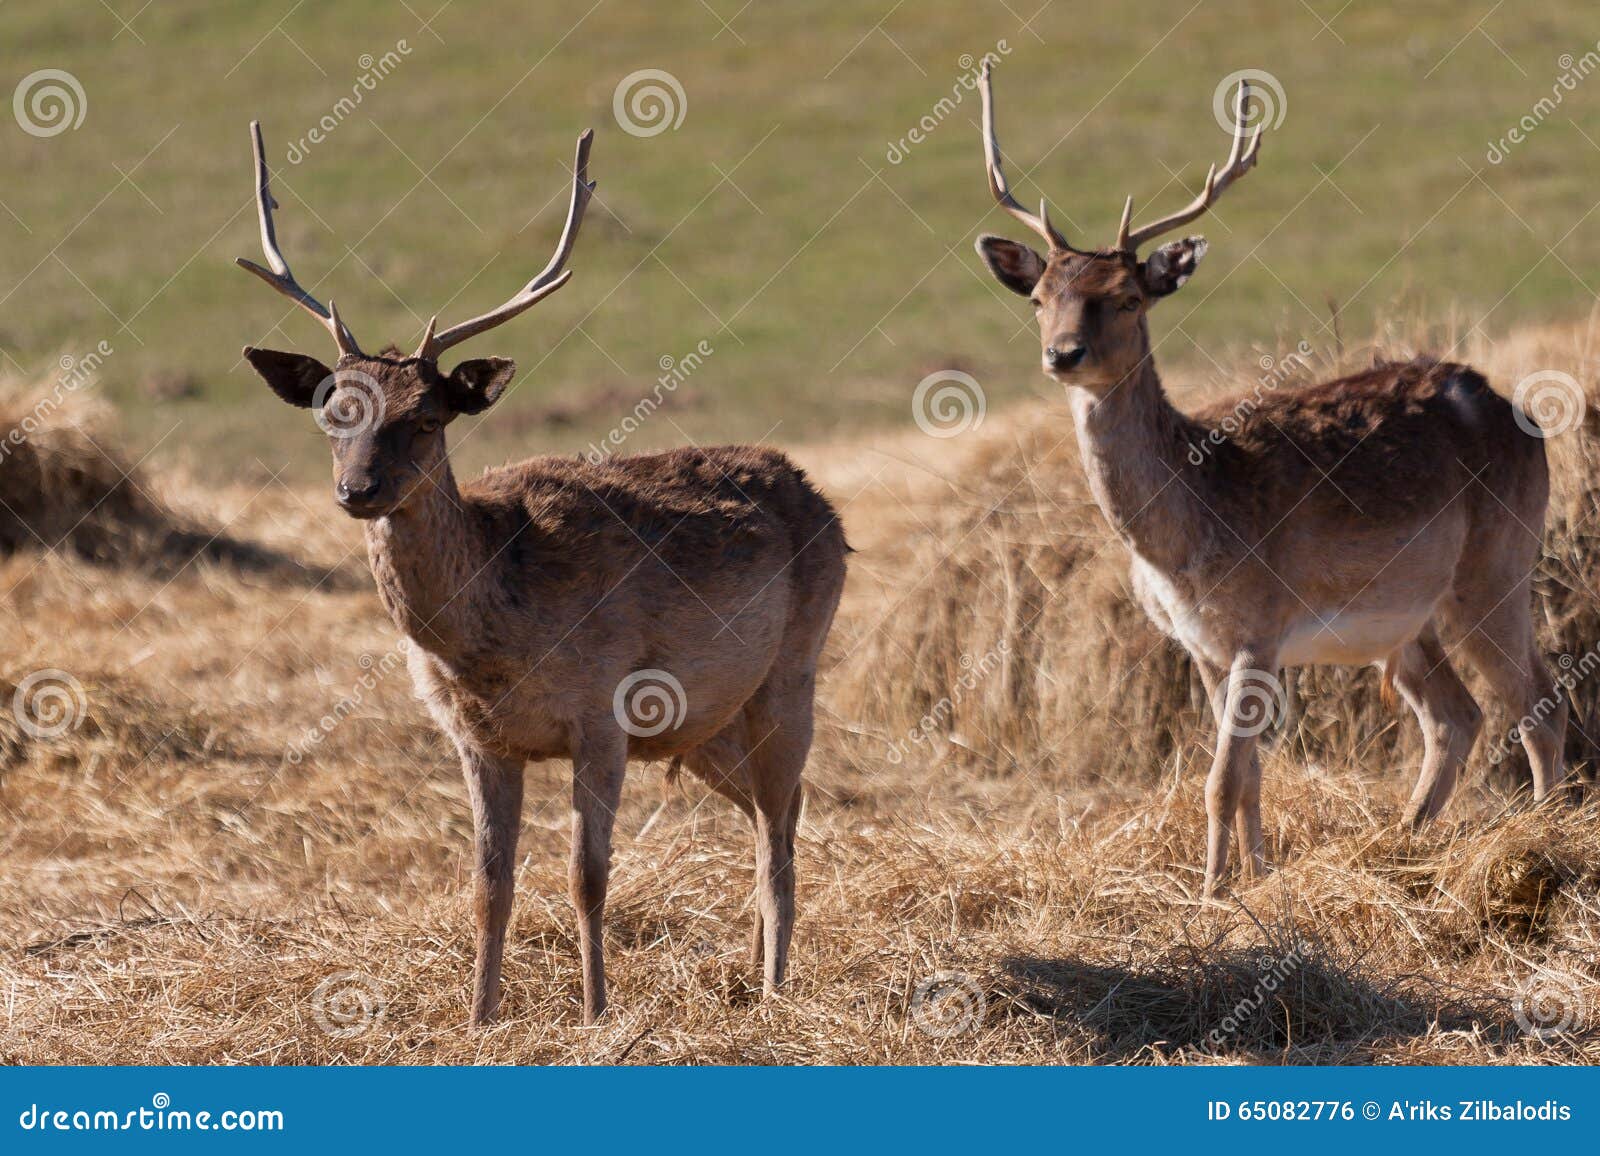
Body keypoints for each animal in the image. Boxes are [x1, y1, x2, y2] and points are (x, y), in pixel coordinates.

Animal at [234, 122, 847, 1025]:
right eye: (333, 411)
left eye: (428, 417)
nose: (358, 490)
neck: (495, 637)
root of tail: (825, 502)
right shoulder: (476, 739)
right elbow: (488, 887)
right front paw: (479, 1016)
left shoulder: (605, 710)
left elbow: (587, 878)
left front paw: (595, 1011)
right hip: (706, 723)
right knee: (778, 810)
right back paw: (748, 971)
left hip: (792, 669)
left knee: (779, 827)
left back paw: (775, 993)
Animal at [972, 63, 1569, 897]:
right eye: (1038, 298)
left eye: (1126, 296)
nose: (1062, 353)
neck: (1186, 537)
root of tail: (1522, 416)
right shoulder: (1201, 646)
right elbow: (1248, 775)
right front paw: (1253, 876)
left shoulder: (1259, 625)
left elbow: (1223, 778)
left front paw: (1212, 894)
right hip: (1406, 622)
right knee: (1457, 718)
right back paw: (1403, 840)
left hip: (1497, 568)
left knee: (1539, 704)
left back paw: (1542, 844)